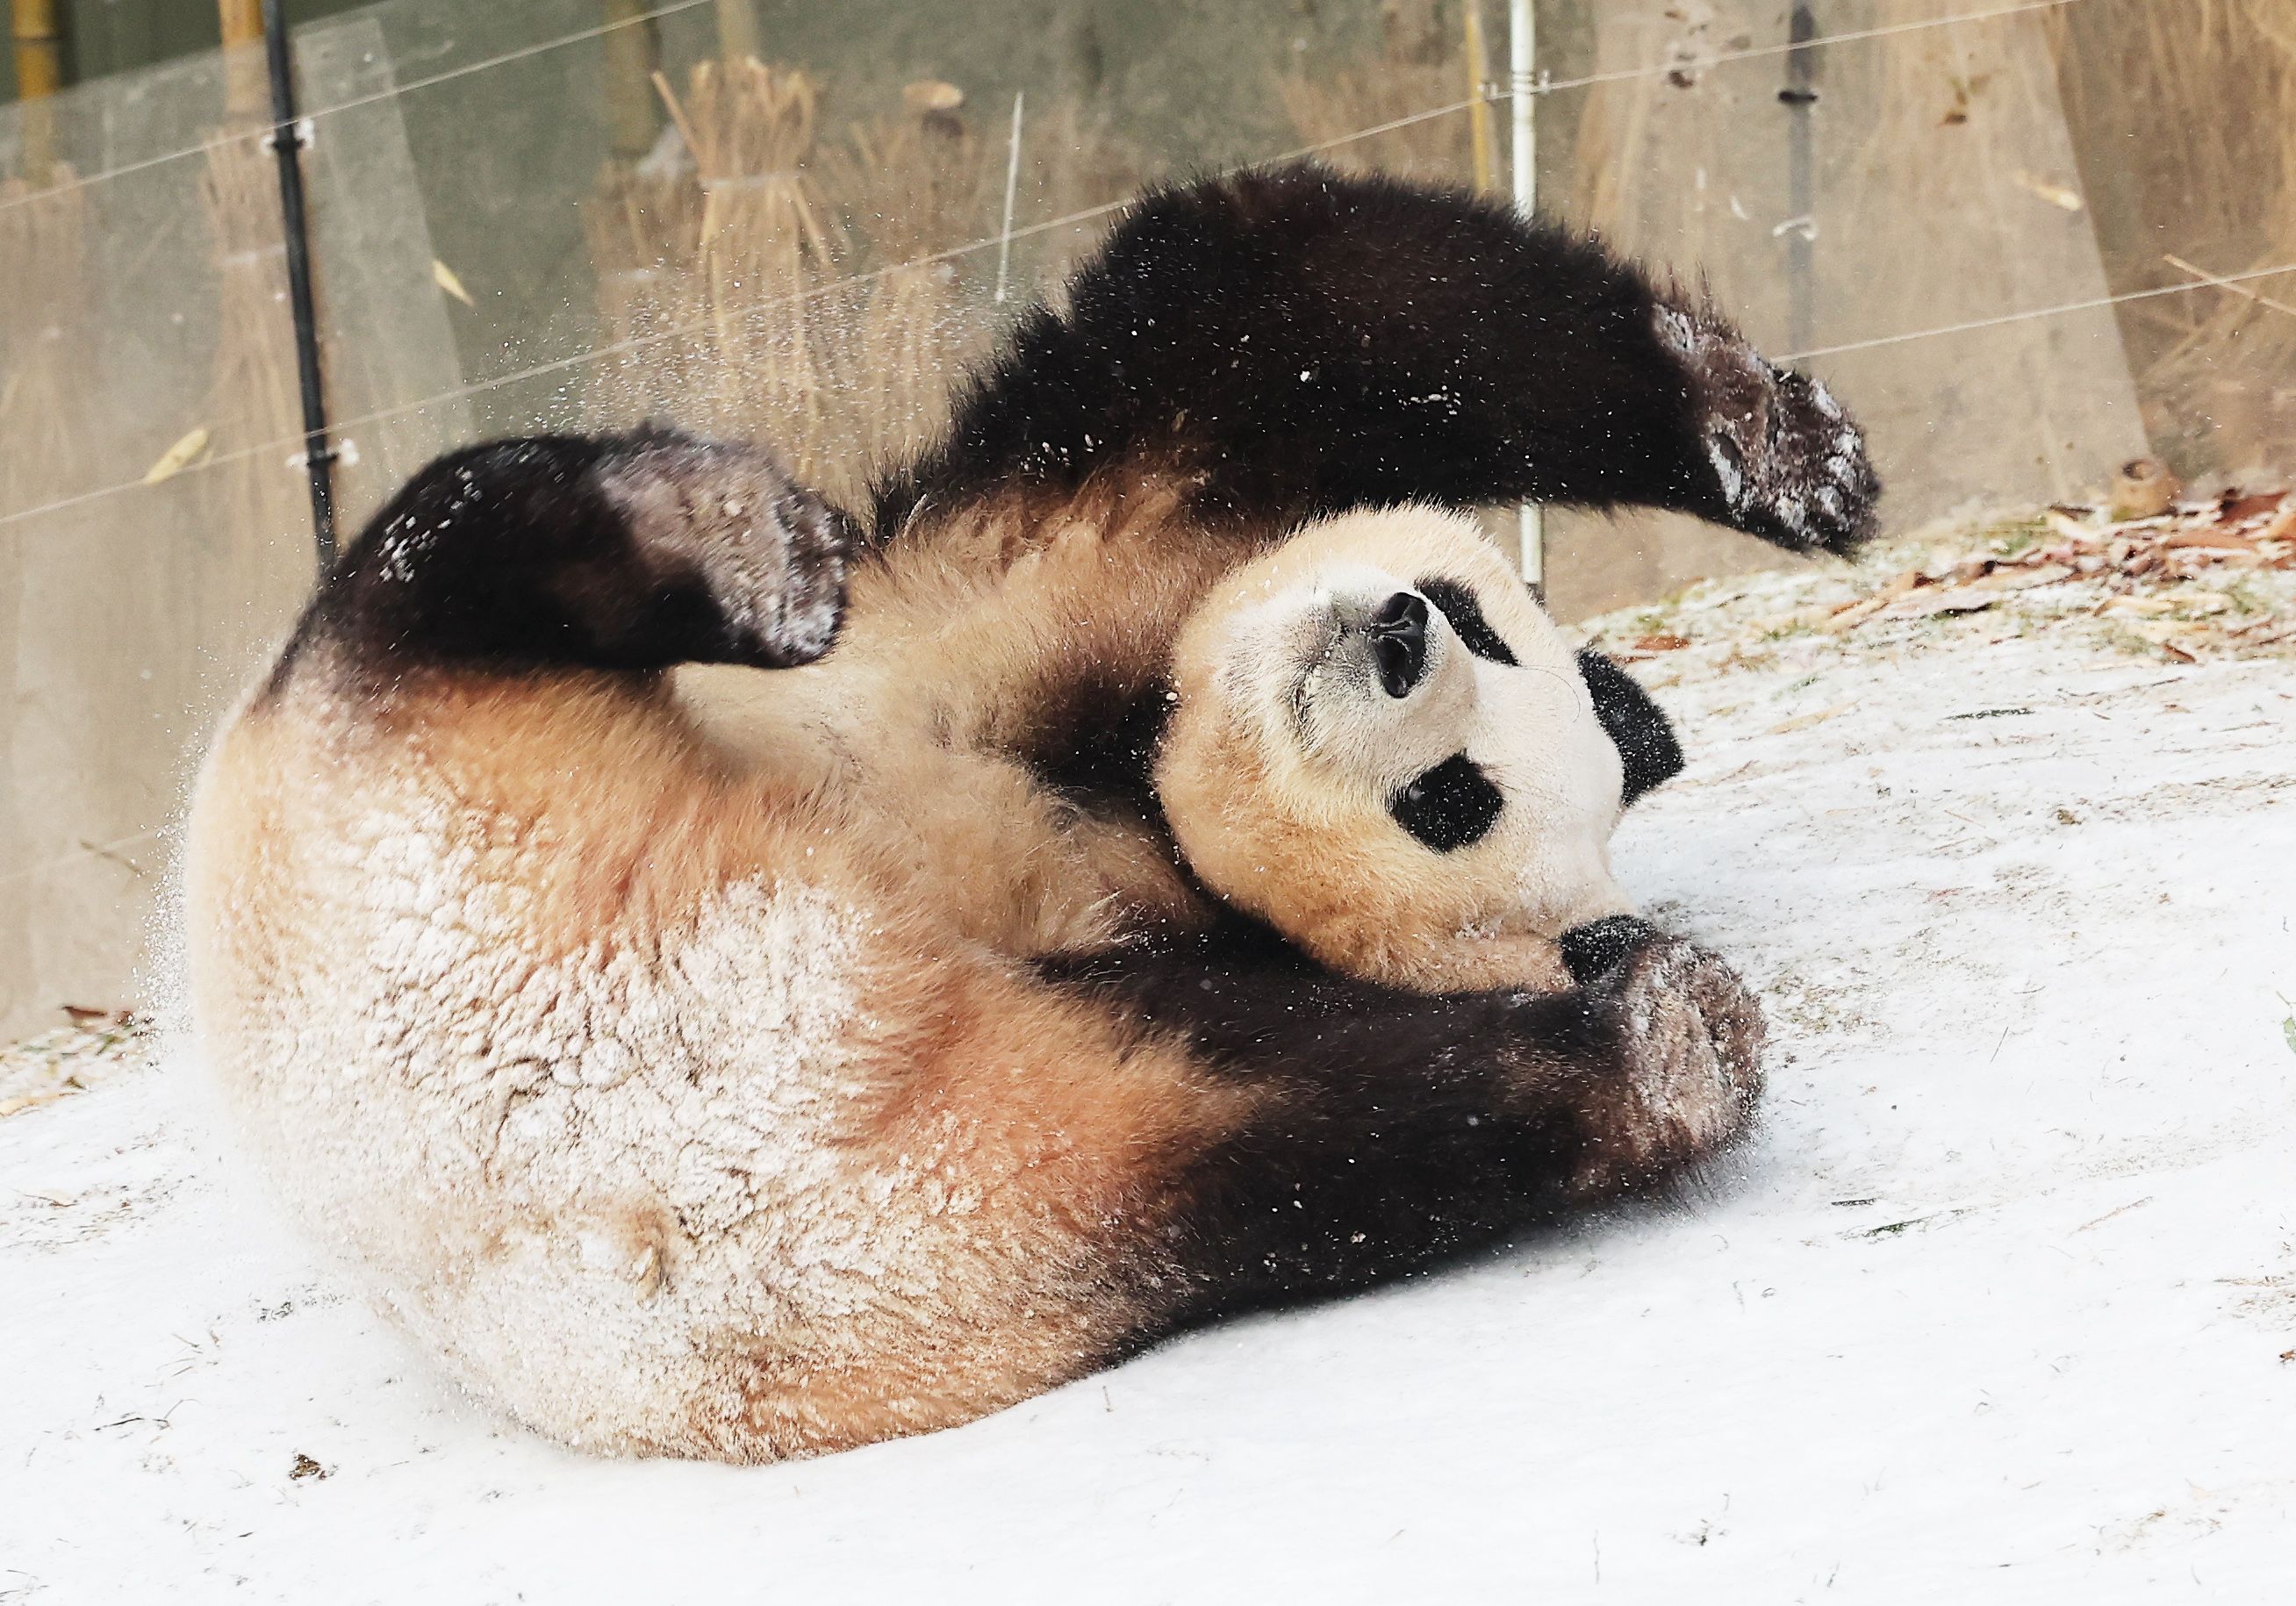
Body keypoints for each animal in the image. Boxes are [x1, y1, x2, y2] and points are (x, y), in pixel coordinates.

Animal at [184, 164, 1877, 1463]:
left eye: (1451, 799)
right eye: (1476, 618)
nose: (1395, 632)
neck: (1143, 801)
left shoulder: (1166, 938)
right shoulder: (1007, 625)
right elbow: (1268, 313)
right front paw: (1784, 447)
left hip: (997, 1167)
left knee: (1354, 1134)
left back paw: (1659, 1040)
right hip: (366, 754)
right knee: (460, 544)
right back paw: (736, 540)